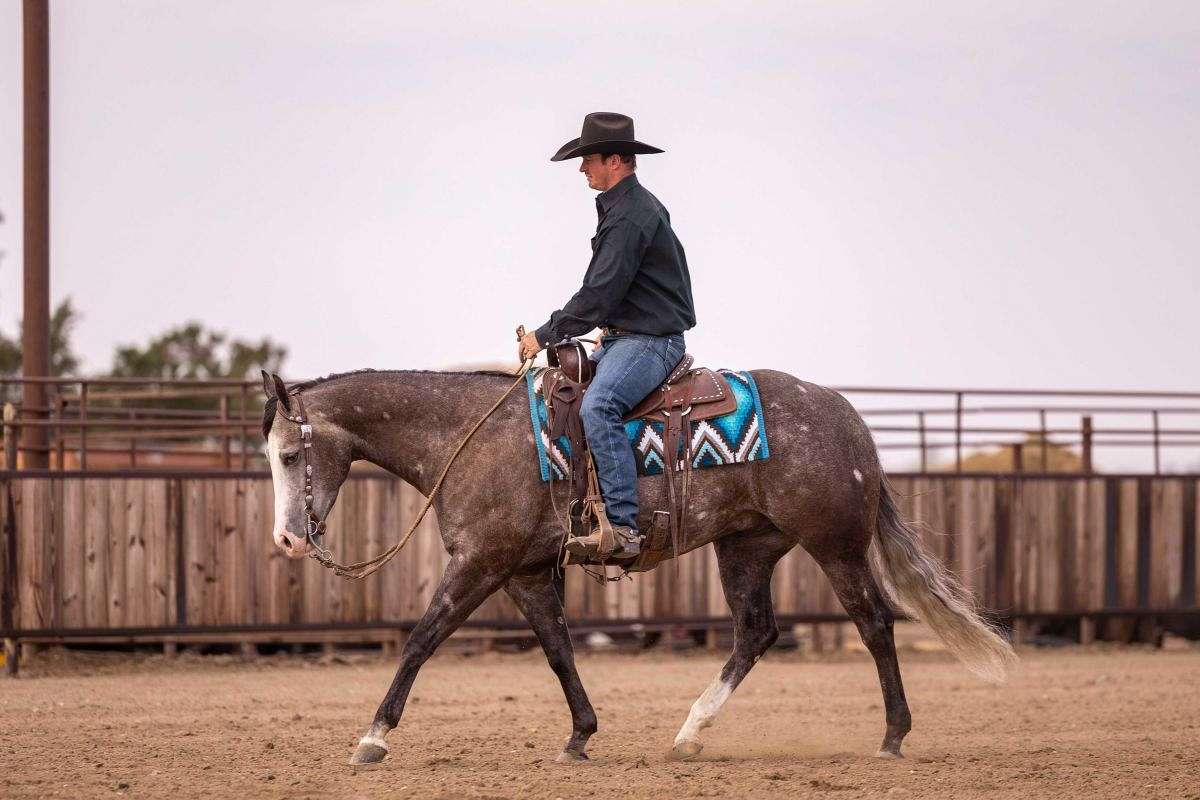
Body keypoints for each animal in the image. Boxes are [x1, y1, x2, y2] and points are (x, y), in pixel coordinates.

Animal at [259, 366, 1014, 766]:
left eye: (289, 455)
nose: (289, 541)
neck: (466, 438)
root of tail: (847, 416)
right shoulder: (525, 573)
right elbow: (558, 651)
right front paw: (579, 736)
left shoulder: (480, 563)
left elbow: (420, 640)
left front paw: (373, 737)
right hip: (747, 548)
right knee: (755, 632)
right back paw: (690, 731)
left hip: (835, 547)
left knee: (875, 624)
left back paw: (893, 735)